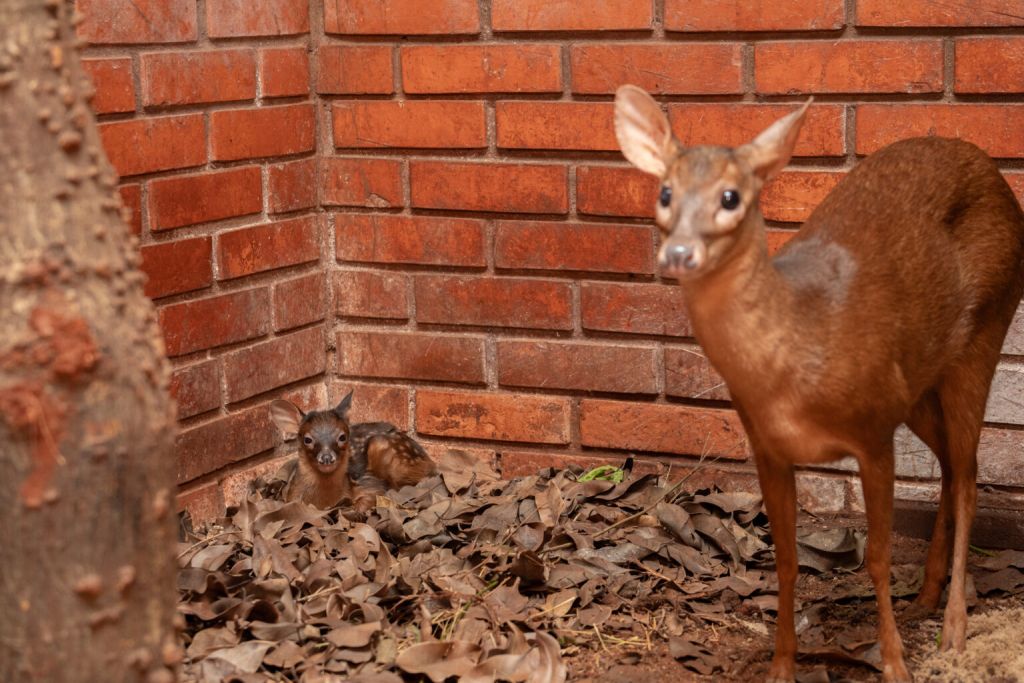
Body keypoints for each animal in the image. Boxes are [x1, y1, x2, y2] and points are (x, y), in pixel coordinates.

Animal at [270, 392, 436, 512]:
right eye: (307, 439)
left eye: (342, 437)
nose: (326, 458)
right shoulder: (291, 496)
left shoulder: (369, 483)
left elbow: (370, 497)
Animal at [614, 85, 1024, 682]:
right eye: (665, 192)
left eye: (731, 196)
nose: (679, 253)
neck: (792, 365)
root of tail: (995, 174)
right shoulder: (767, 446)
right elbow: (785, 558)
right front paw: (782, 665)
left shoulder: (873, 433)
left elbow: (876, 556)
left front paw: (895, 664)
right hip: (918, 384)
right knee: (952, 466)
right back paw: (925, 597)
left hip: (986, 328)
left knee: (969, 476)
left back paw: (953, 629)